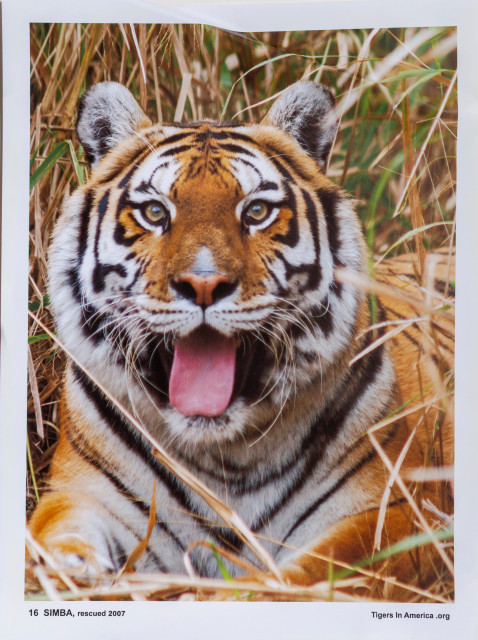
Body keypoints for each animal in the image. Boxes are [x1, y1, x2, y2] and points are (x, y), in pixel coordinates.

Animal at [28, 80, 454, 599]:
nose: (203, 284)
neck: (224, 453)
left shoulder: (388, 515)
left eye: (256, 211)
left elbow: (299, 578)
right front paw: (75, 575)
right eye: (155, 212)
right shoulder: (80, 492)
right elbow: (53, 542)